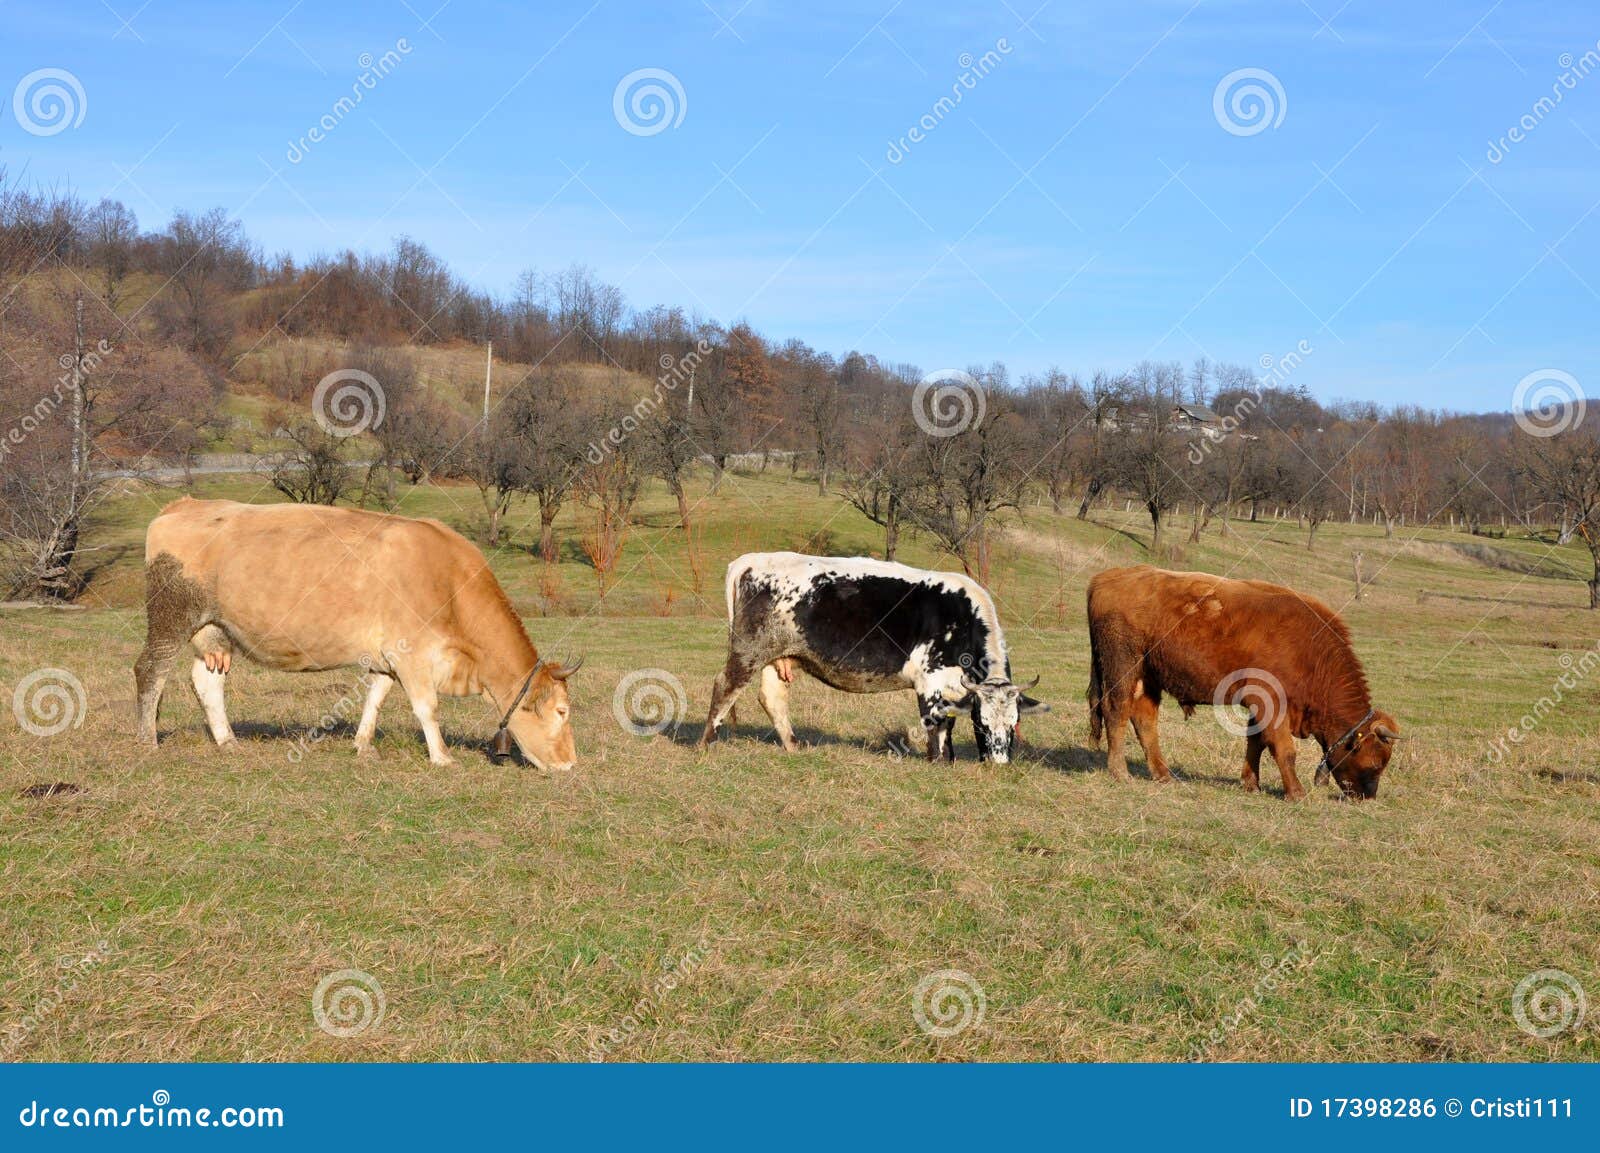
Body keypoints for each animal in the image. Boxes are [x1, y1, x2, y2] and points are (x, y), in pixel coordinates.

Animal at [134, 497, 581, 770]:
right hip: (170, 617)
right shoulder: (413, 654)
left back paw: (227, 741)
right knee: (150, 672)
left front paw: (364, 745)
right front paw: (442, 756)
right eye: (562, 711)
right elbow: (427, 707)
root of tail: (186, 504)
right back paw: (147, 740)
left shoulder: (386, 657)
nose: (571, 763)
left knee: (206, 681)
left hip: (214, 629)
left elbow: (375, 698)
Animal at [698, 552, 1048, 762]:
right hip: (749, 650)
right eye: (982, 724)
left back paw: (793, 746)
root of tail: (752, 559)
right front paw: (937, 762)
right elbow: (936, 726)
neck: (961, 618)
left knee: (772, 697)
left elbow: (948, 724)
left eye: (1014, 725)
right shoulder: (930, 683)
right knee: (725, 686)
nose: (998, 764)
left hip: (779, 655)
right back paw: (707, 743)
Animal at [1085, 565, 1401, 800]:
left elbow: (1255, 742)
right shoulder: (1272, 703)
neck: (1312, 653)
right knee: (1116, 711)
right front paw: (1296, 793)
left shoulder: (1259, 707)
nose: (1367, 797)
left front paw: (1251, 784)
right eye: (1376, 762)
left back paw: (1163, 775)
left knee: (1144, 719)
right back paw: (1120, 772)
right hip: (1123, 668)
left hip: (1149, 677)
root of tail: (1106, 577)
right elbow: (1283, 749)